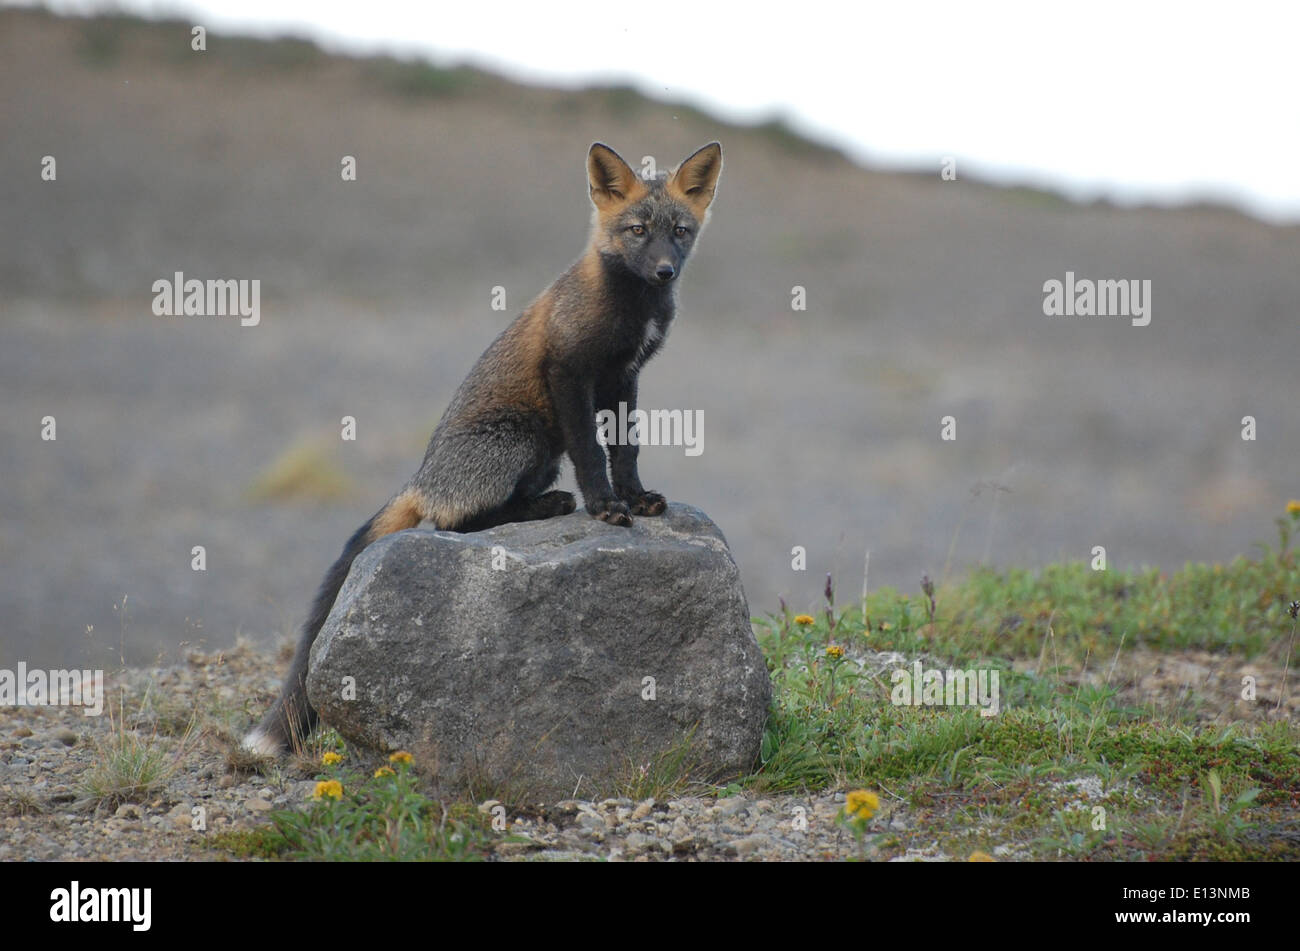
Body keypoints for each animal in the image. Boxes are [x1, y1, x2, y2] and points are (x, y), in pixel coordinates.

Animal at [242, 141, 724, 755]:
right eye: (637, 230)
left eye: (680, 231)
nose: (665, 269)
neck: (631, 309)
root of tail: (422, 477)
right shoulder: (570, 372)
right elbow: (594, 455)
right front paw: (605, 506)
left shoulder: (625, 378)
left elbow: (626, 452)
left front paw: (636, 498)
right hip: (521, 438)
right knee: (458, 522)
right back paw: (545, 508)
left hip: (542, 455)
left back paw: (541, 506)